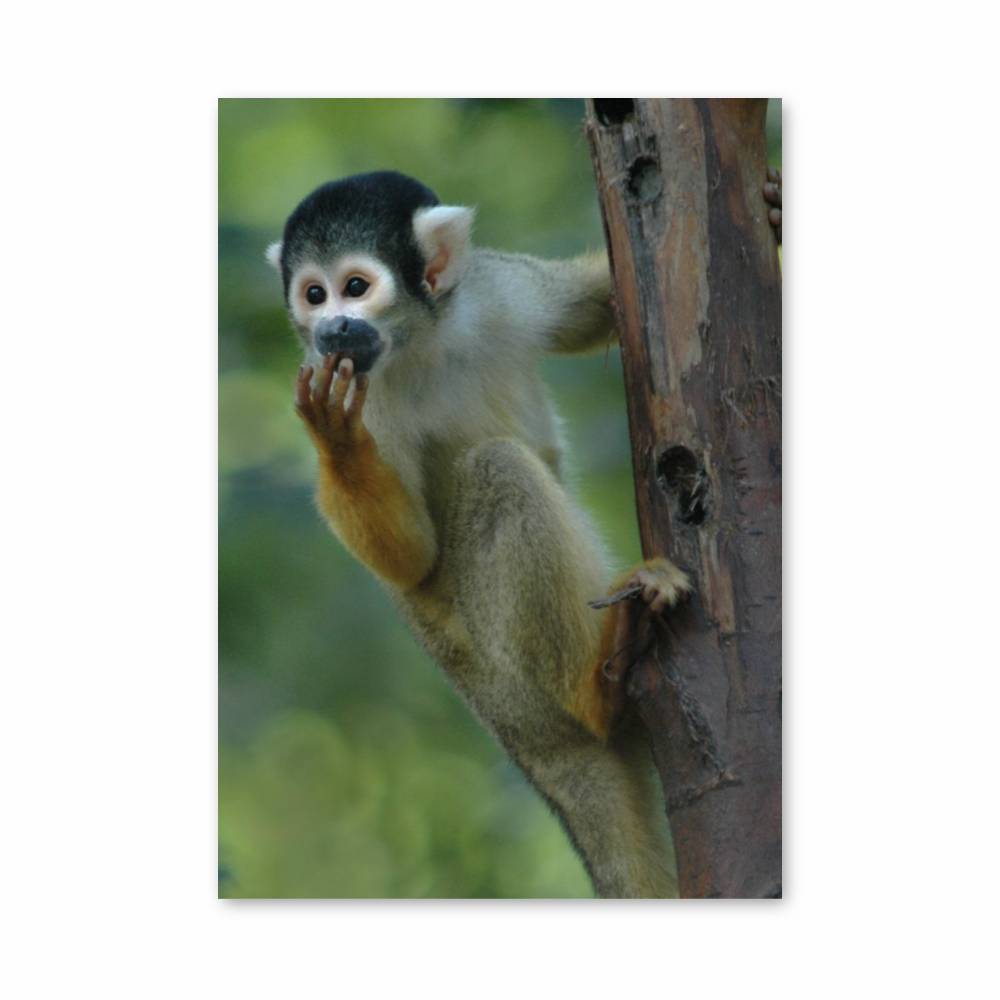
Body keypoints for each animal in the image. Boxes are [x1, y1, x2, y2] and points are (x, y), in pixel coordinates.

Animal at [266, 170, 693, 898]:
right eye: (313, 295)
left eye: (354, 287)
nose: (329, 329)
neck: (421, 340)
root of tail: (523, 745)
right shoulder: (363, 388)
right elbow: (411, 557)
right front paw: (337, 441)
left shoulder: (494, 289)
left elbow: (595, 304)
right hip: (504, 677)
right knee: (497, 471)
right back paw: (599, 687)